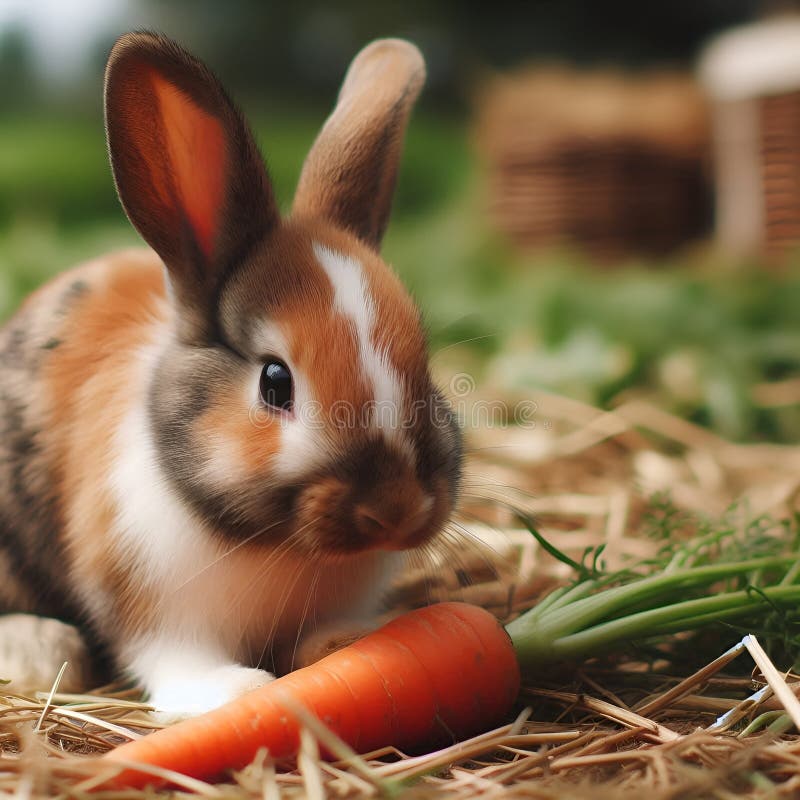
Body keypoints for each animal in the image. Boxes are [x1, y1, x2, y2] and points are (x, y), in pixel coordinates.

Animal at [0, 32, 462, 717]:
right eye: (275, 382)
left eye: (424, 365)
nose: (398, 508)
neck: (281, 548)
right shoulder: (155, 611)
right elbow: (175, 660)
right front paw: (234, 691)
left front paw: (351, 644)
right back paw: (37, 648)